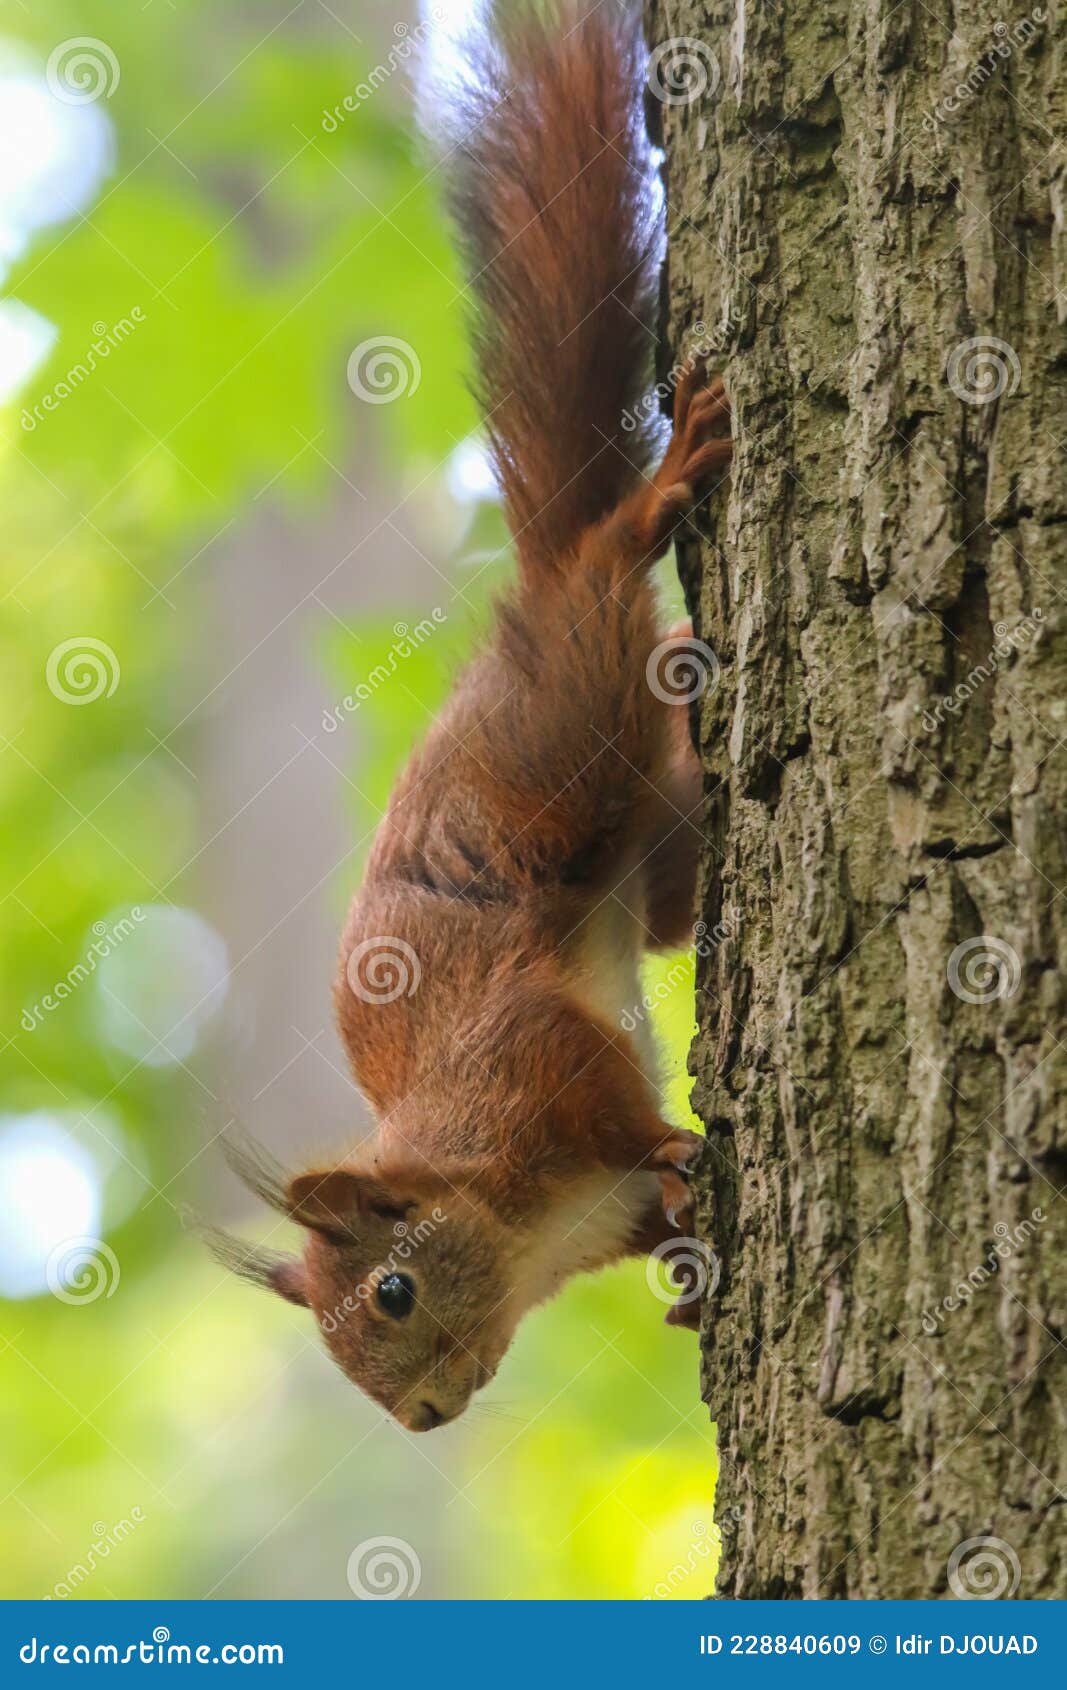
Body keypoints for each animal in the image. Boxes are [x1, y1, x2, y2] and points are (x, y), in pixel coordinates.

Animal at [208, 0, 731, 1431]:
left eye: (391, 1291)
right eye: (341, 1355)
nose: (423, 1418)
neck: (522, 1222)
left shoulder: (521, 1062)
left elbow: (605, 1095)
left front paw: (672, 1136)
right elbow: (655, 1216)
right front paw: (685, 1267)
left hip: (565, 720)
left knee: (604, 573)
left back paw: (655, 497)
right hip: (645, 832)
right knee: (671, 877)